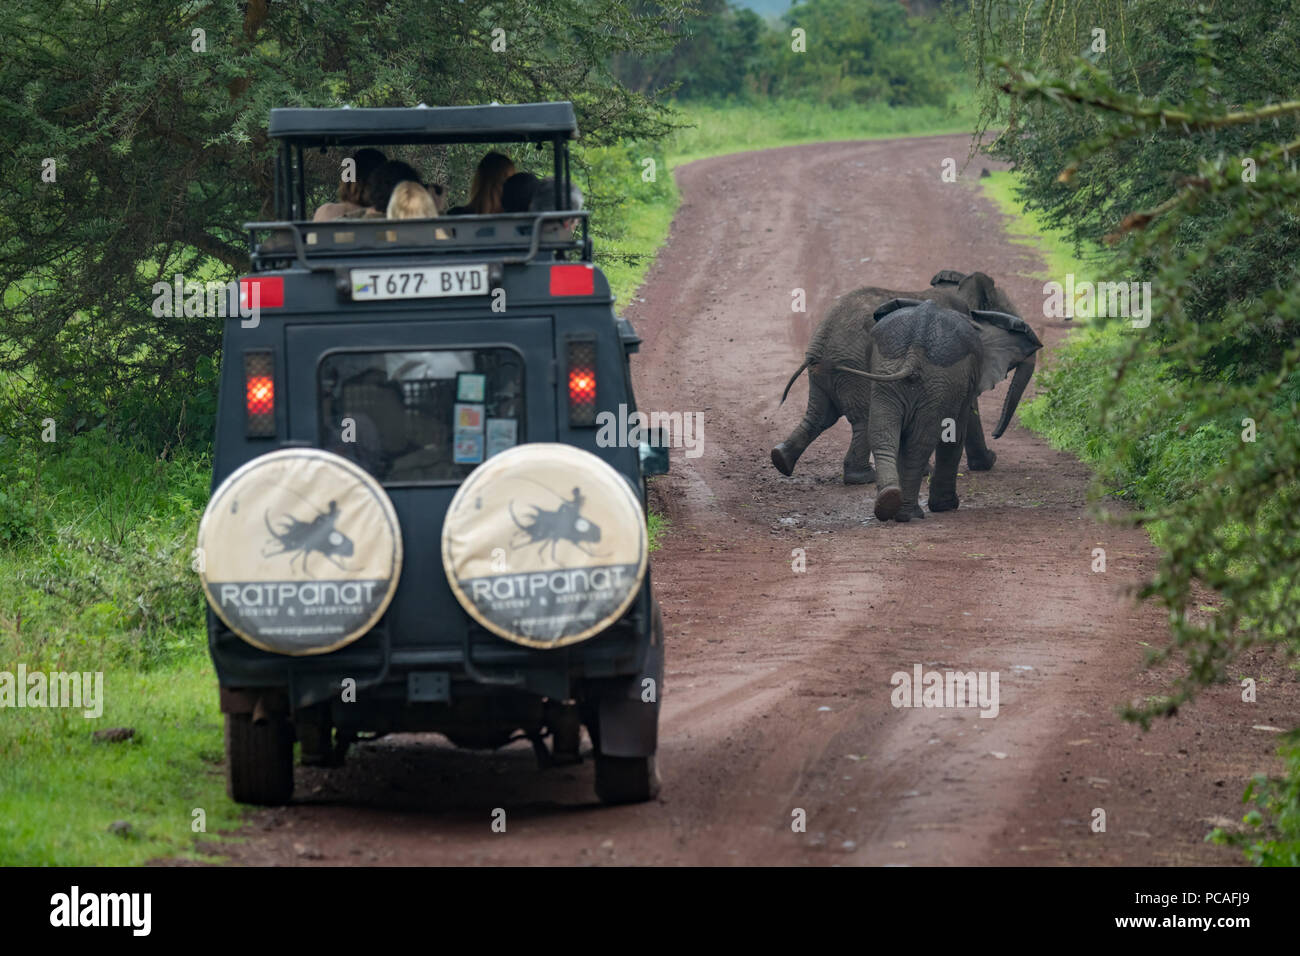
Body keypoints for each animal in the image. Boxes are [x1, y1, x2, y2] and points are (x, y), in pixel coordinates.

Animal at [770, 270, 1035, 485]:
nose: (996, 435)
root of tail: (821, 344)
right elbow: (967, 407)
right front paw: (988, 462)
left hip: (827, 372)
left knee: (819, 416)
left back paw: (781, 460)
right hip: (852, 366)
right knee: (864, 418)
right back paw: (864, 477)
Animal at [834, 298, 1042, 522]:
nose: (995, 435)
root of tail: (916, 344)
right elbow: (956, 433)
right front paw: (946, 506)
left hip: (893, 377)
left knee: (884, 433)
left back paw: (889, 504)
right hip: (937, 381)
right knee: (920, 442)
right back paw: (908, 514)